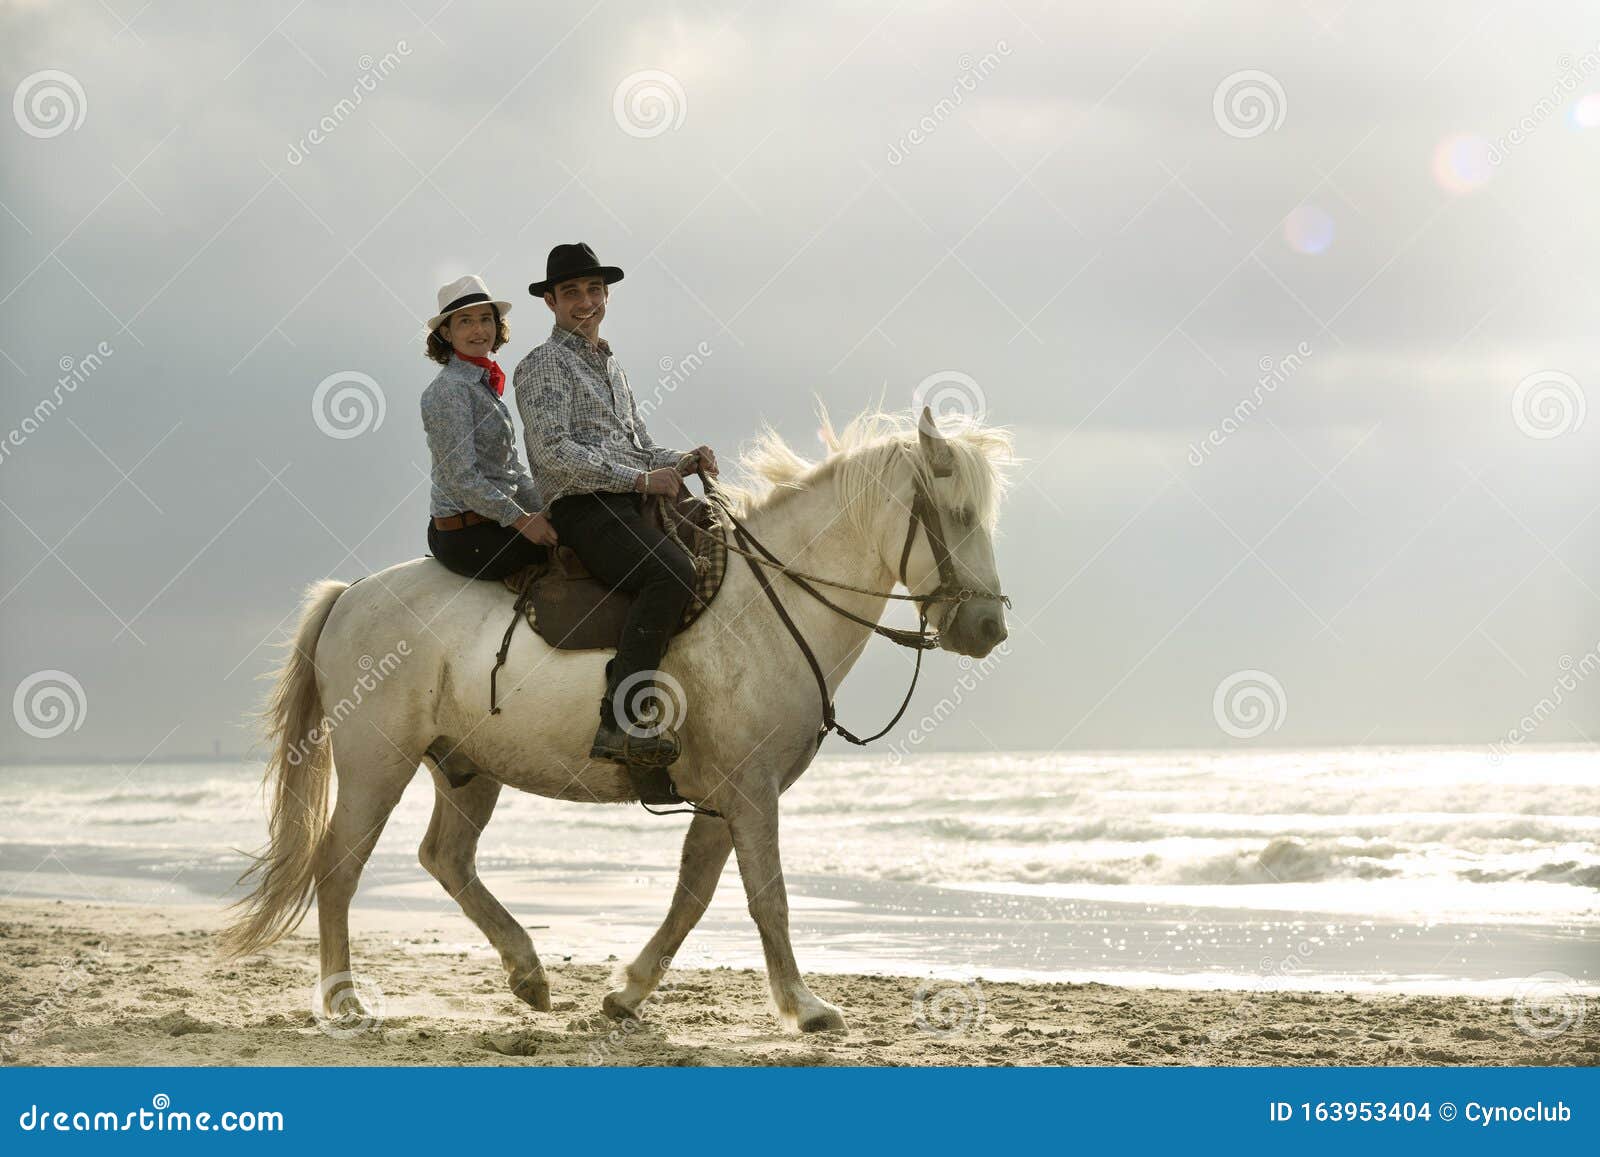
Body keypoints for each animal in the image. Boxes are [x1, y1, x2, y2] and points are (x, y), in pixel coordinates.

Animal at [219, 405, 1013, 1034]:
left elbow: (692, 897)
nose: (989, 628)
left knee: (446, 858)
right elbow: (769, 898)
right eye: (958, 517)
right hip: (375, 766)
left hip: (466, 768)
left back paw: (527, 972)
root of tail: (348, 595)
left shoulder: (724, 799)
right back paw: (345, 1000)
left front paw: (627, 994)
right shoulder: (752, 791)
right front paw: (806, 1007)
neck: (770, 606)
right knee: (339, 868)